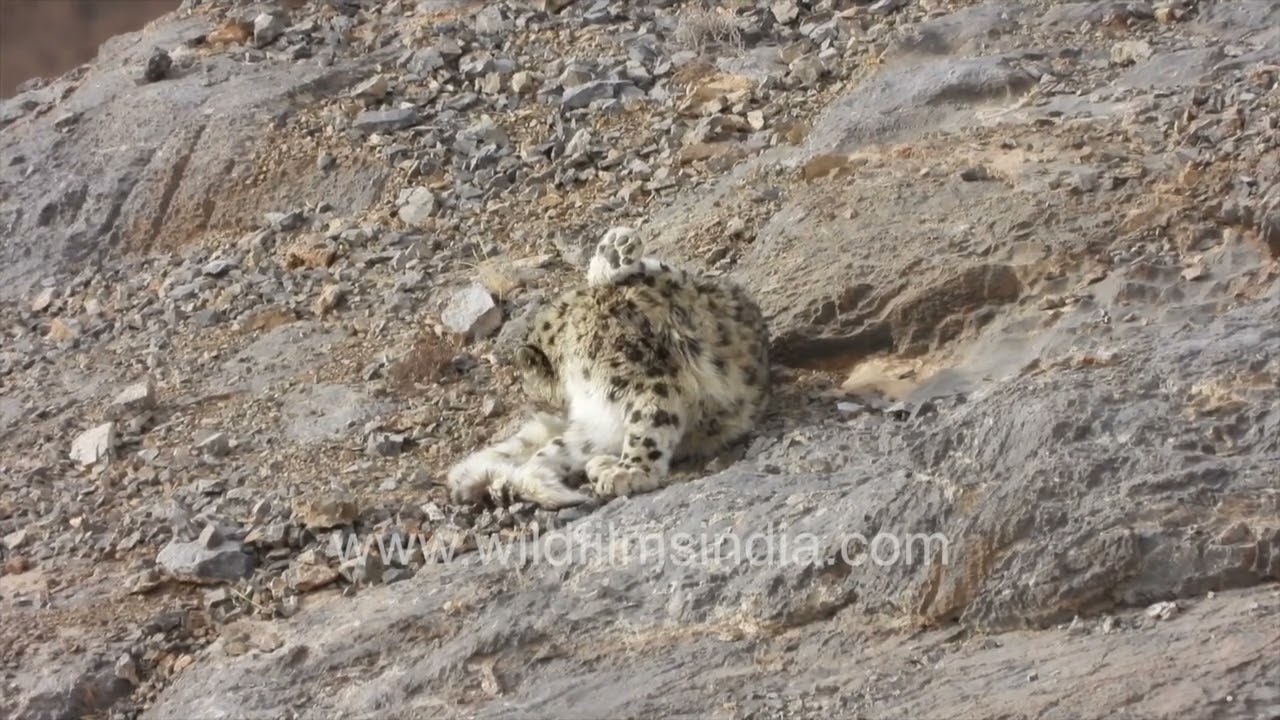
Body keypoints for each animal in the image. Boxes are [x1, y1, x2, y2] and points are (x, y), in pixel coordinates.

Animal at [446, 226, 771, 510]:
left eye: (535, 397)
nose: (551, 414)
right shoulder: (598, 423)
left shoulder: (648, 381)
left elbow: (647, 426)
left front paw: (631, 472)